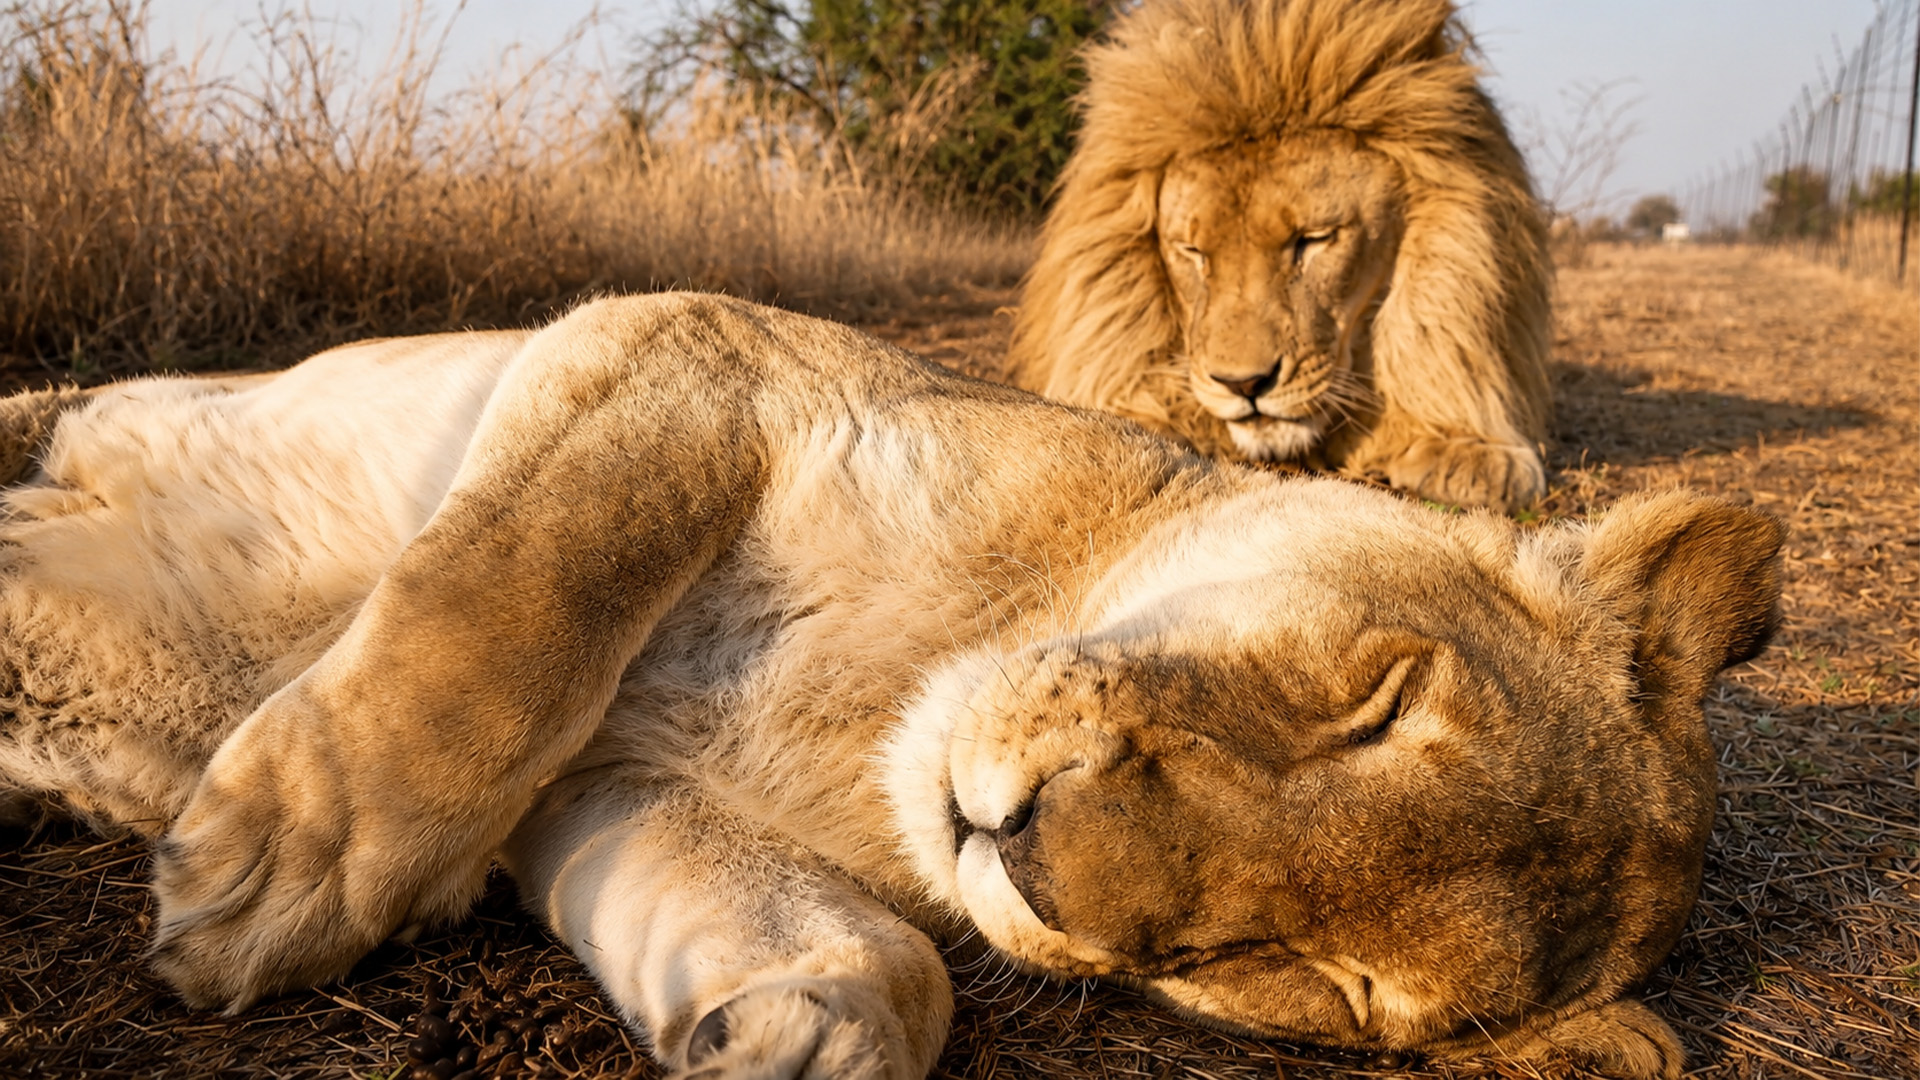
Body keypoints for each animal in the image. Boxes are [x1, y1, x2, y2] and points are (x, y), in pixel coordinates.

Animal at [0, 295, 1780, 1080]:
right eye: (1383, 699)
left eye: (1314, 983)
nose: (1031, 853)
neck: (874, 714)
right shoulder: (689, 350)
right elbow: (510, 603)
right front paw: (280, 867)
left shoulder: (599, 795)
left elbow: (891, 966)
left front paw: (794, 1028)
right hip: (101, 405)